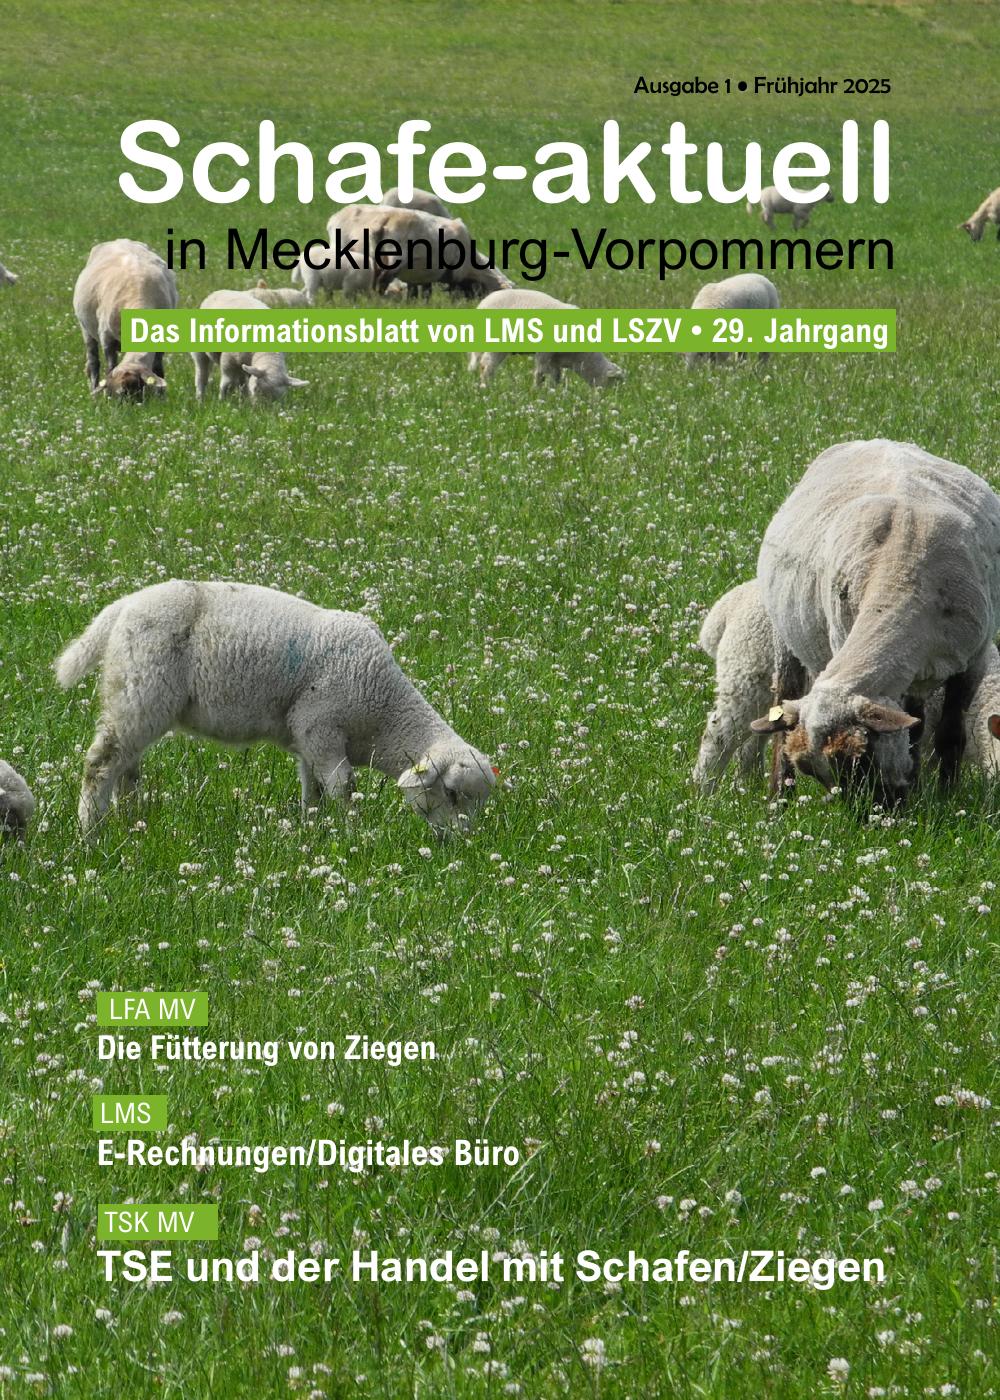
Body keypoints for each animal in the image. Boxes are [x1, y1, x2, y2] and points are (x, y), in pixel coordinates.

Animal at [55, 580, 497, 837]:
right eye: (452, 794)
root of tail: (122, 607)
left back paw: (132, 821)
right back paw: (91, 832)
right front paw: (350, 836)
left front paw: (313, 831)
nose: (460, 843)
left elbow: (313, 791)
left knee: (126, 766)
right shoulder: (321, 726)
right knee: (101, 763)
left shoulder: (308, 739)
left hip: (137, 699)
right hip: (142, 688)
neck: (383, 716)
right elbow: (344, 788)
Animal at [73, 239, 178, 398]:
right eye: (118, 394)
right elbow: (110, 368)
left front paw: (161, 397)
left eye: (140, 391)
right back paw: (93, 391)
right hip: (85, 328)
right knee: (93, 363)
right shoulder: (107, 339)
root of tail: (119, 240)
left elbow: (158, 370)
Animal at [468, 288, 624, 388]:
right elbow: (541, 373)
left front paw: (553, 393)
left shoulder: (556, 359)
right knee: (486, 364)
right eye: (614, 383)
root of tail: (483, 302)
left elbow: (556, 376)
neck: (580, 357)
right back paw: (487, 386)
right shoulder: (545, 353)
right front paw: (536, 391)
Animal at [752, 440, 1000, 804]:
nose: (870, 816)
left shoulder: (974, 658)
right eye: (816, 774)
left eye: (862, 757)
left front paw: (946, 796)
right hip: (786, 636)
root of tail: (874, 440)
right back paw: (778, 798)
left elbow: (949, 735)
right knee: (784, 699)